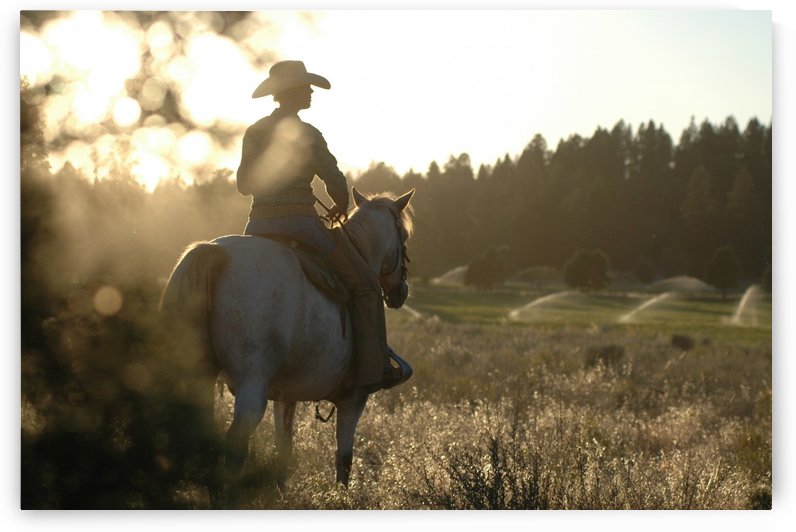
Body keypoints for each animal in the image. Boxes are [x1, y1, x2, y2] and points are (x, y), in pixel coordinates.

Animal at [159, 188, 414, 498]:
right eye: (404, 235)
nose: (400, 292)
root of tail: (215, 251)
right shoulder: (354, 399)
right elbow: (344, 459)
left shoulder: (284, 396)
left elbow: (284, 449)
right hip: (252, 385)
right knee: (234, 442)